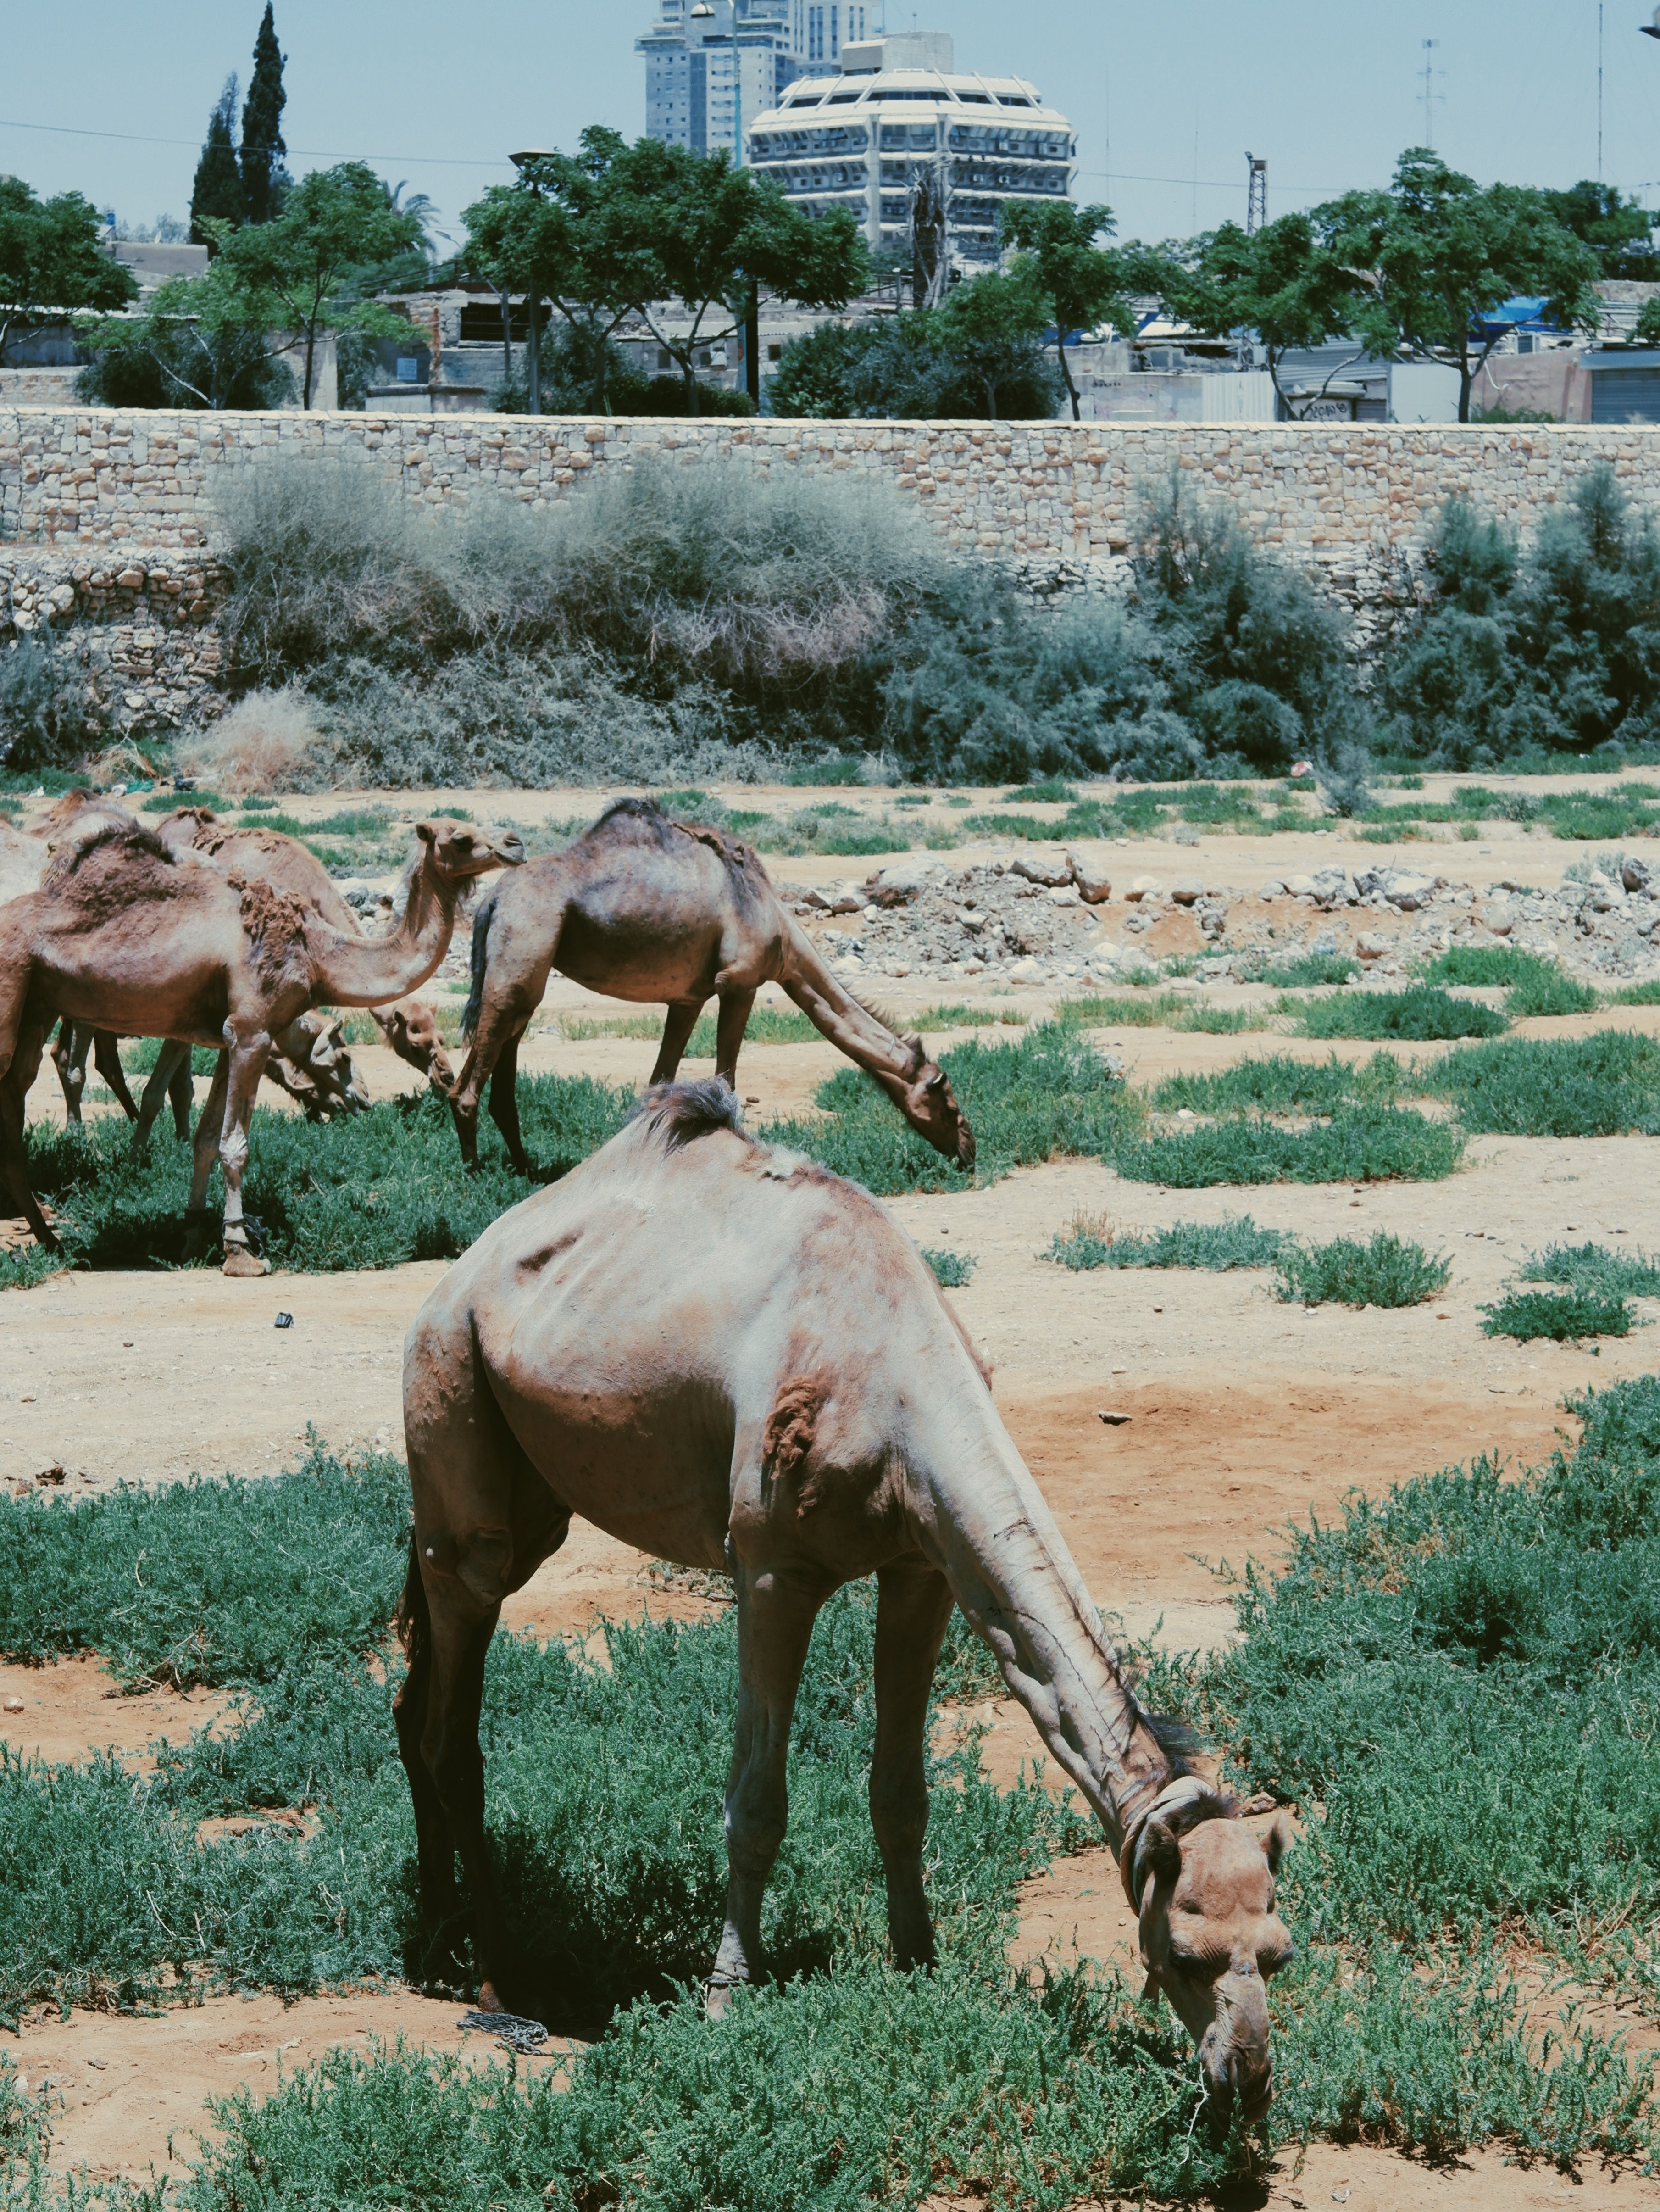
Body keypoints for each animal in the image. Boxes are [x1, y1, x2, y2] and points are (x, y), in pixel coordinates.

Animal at [0, 814, 523, 1272]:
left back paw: (49, 1238)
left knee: (16, 1099)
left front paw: (194, 1235)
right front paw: (240, 1252)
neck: (315, 952)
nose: (515, 843)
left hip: (37, 1006)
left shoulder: (230, 1036)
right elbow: (235, 1145)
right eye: (460, 837)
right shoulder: (251, 1031)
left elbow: (206, 1139)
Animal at [397, 1080, 1292, 2123]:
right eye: (1183, 1954)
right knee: (455, 1704)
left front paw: (920, 1963)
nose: (1245, 2080)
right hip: (451, 1402)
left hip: (532, 1489)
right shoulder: (772, 1568)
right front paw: (727, 1993)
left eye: (1278, 1951)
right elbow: (757, 1801)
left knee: (417, 1691)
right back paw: (498, 1971)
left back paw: (436, 1929)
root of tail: (461, 1271)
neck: (902, 1382)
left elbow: (901, 1793)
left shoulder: (924, 1564)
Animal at [446, 798, 973, 1177]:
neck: (780, 928)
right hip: (521, 955)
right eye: (949, 1105)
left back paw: (523, 1167)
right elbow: (727, 1079)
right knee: (467, 1086)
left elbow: (658, 1081)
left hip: (519, 975)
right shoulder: (739, 982)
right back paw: (474, 1175)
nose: (969, 1151)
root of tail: (491, 900)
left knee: (501, 1062)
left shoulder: (688, 996)